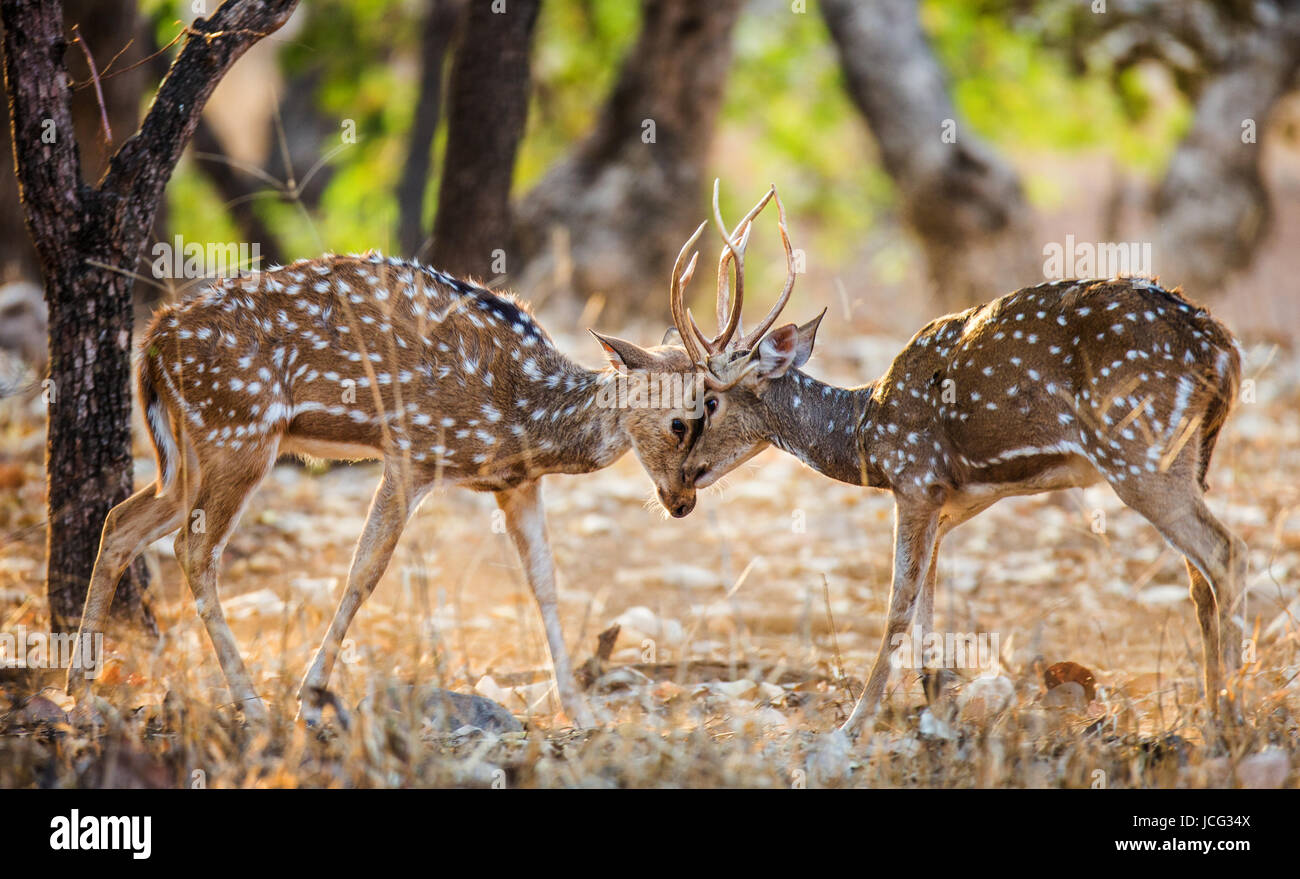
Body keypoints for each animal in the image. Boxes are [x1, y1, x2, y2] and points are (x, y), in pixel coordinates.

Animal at [64, 239, 752, 729]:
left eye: (713, 412)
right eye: (682, 419)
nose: (682, 502)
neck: (529, 413)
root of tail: (151, 344)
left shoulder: (516, 483)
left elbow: (546, 583)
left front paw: (581, 712)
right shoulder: (413, 451)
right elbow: (364, 571)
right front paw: (311, 696)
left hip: (191, 453)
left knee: (121, 522)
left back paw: (79, 689)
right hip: (239, 430)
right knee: (193, 548)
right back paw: (251, 703)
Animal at [666, 181, 1247, 740]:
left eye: (709, 401)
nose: (681, 483)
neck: (866, 433)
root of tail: (1222, 348)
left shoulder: (915, 479)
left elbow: (898, 603)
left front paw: (855, 722)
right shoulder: (952, 502)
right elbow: (927, 601)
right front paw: (937, 712)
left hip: (1138, 449)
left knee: (1225, 552)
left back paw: (1232, 713)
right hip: (1193, 456)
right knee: (1200, 579)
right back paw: (1212, 709)